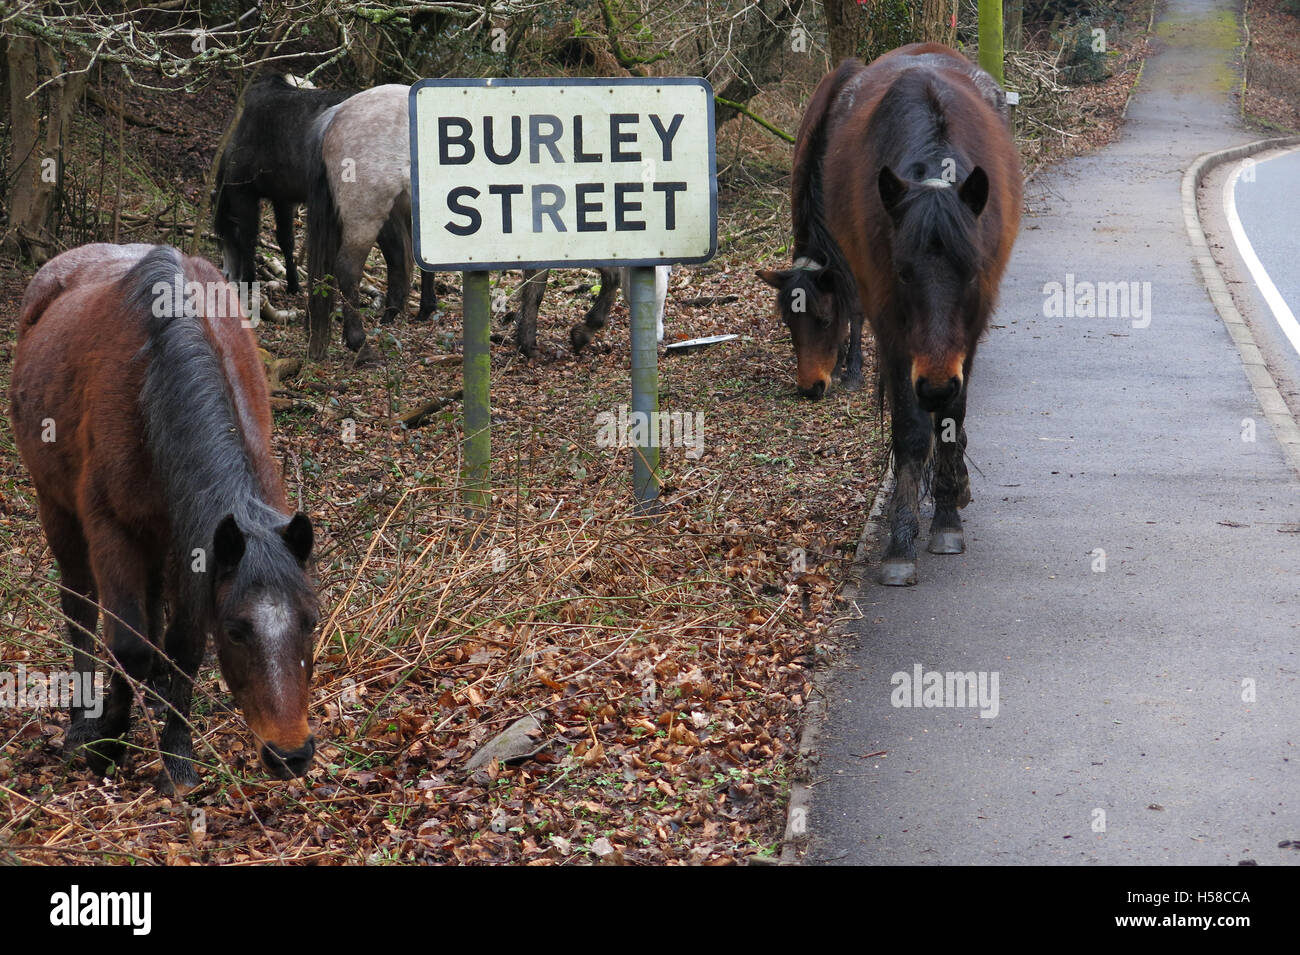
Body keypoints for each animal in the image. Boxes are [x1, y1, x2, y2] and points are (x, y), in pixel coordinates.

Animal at [9, 243, 320, 792]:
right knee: (80, 607)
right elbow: (127, 642)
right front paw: (107, 742)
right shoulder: (111, 530)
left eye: (310, 622)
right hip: (57, 508)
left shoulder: (195, 541)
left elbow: (185, 646)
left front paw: (176, 757)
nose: (291, 754)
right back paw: (82, 720)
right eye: (237, 630)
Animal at [758, 44, 1021, 586]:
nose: (810, 387)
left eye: (971, 271)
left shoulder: (969, 333)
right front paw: (902, 539)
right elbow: (912, 429)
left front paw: (946, 516)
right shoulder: (892, 329)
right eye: (902, 272)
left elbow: (951, 418)